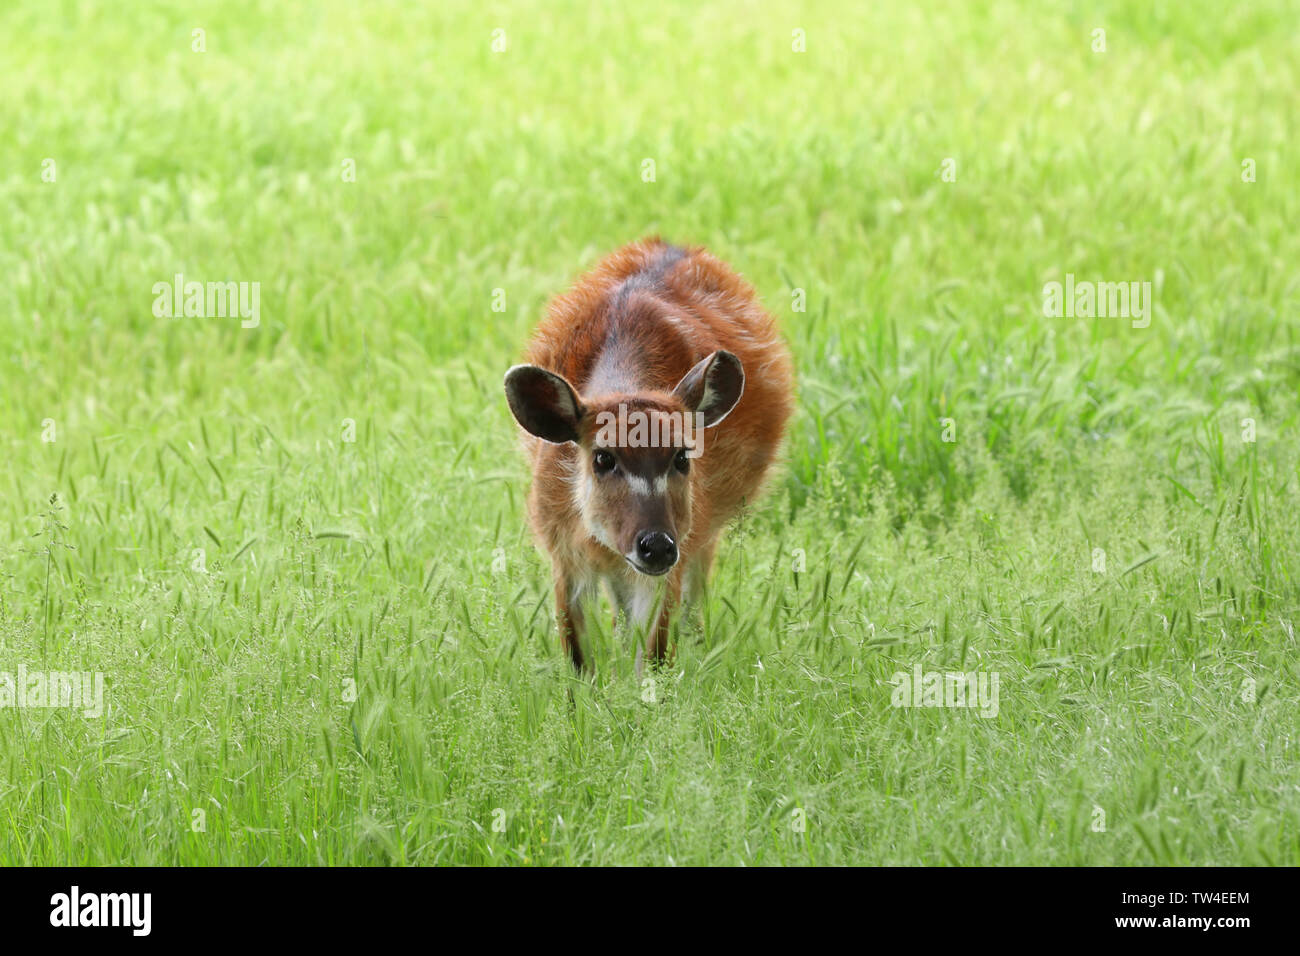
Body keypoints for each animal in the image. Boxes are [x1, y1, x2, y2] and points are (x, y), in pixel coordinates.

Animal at [504, 239, 794, 673]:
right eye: (603, 457)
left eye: (682, 457)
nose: (656, 545)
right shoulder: (563, 553)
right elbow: (578, 659)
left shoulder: (675, 551)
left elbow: (653, 654)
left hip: (702, 528)